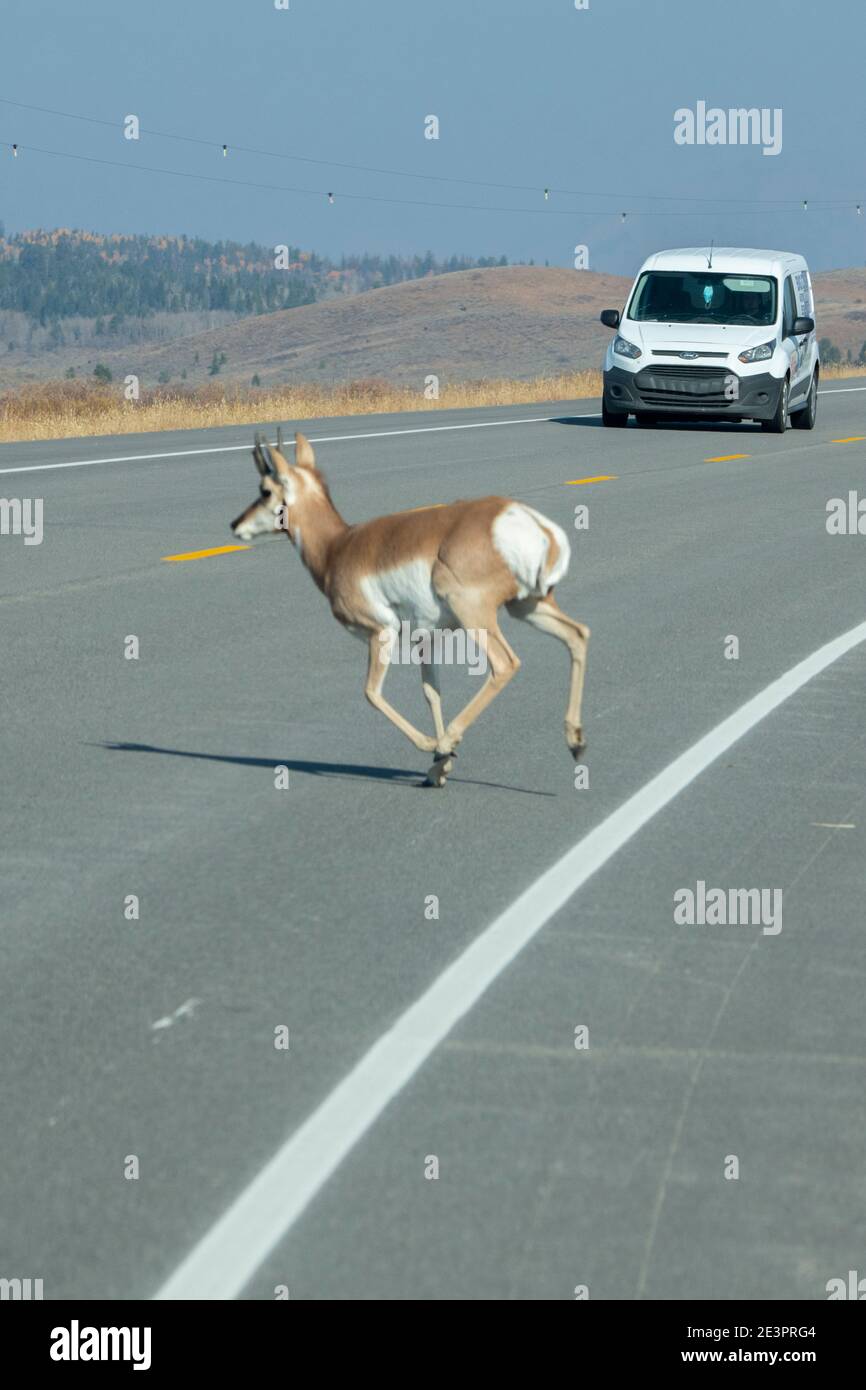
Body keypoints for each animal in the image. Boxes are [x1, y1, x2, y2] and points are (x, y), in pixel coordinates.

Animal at [231, 429, 590, 787]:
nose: (235, 524)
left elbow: (371, 692)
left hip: (475, 614)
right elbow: (431, 691)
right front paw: (439, 768)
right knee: (577, 634)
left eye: (265, 490)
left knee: (504, 664)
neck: (337, 547)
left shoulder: (381, 632)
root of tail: (528, 521)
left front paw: (435, 748)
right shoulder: (426, 640)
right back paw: (575, 741)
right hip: (527, 606)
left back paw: (450, 740)